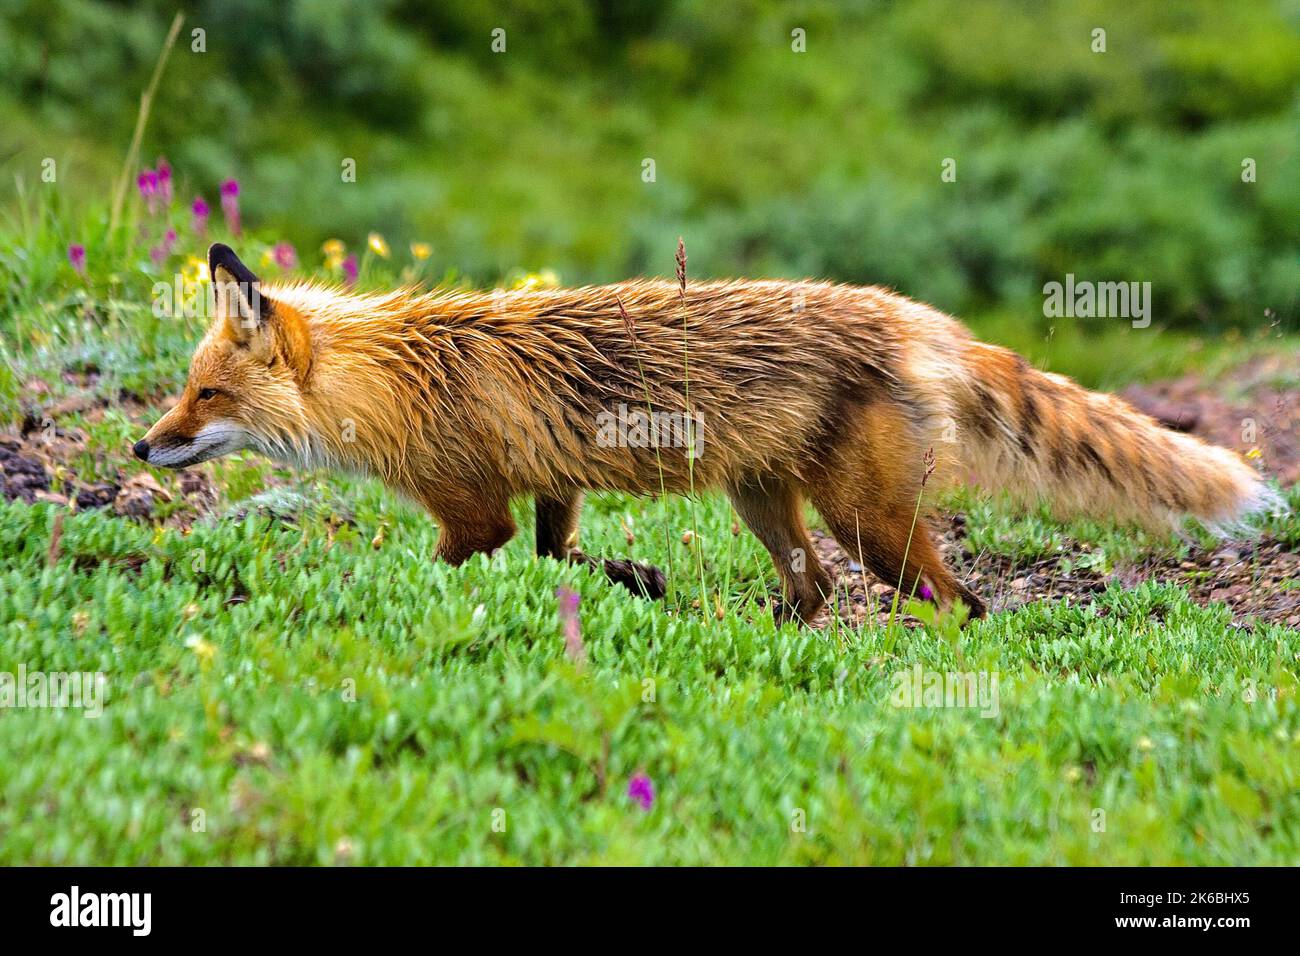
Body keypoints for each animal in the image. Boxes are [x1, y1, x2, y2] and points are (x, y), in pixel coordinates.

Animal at [136, 243, 1279, 624]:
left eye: (205, 396)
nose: (142, 449)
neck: (400, 379)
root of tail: (915, 315)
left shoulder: (472, 508)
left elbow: (479, 555)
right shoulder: (551, 486)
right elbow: (563, 553)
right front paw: (636, 581)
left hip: (868, 521)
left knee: (962, 602)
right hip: (764, 498)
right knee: (813, 591)